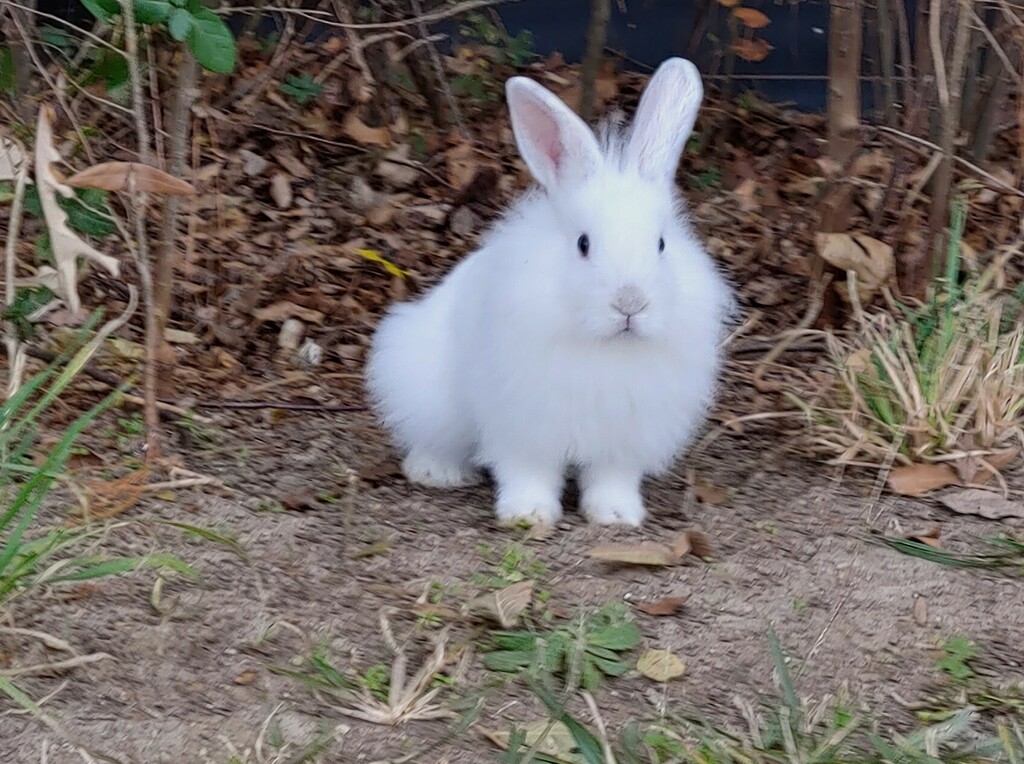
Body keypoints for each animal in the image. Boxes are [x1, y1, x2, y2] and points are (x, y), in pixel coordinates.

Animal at [366, 58, 734, 527]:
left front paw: (616, 515)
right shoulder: (522, 422)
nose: (630, 304)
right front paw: (528, 514)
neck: (605, 346)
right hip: (423, 384)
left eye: (661, 244)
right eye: (583, 244)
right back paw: (436, 472)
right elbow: (528, 470)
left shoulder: (624, 436)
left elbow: (612, 477)